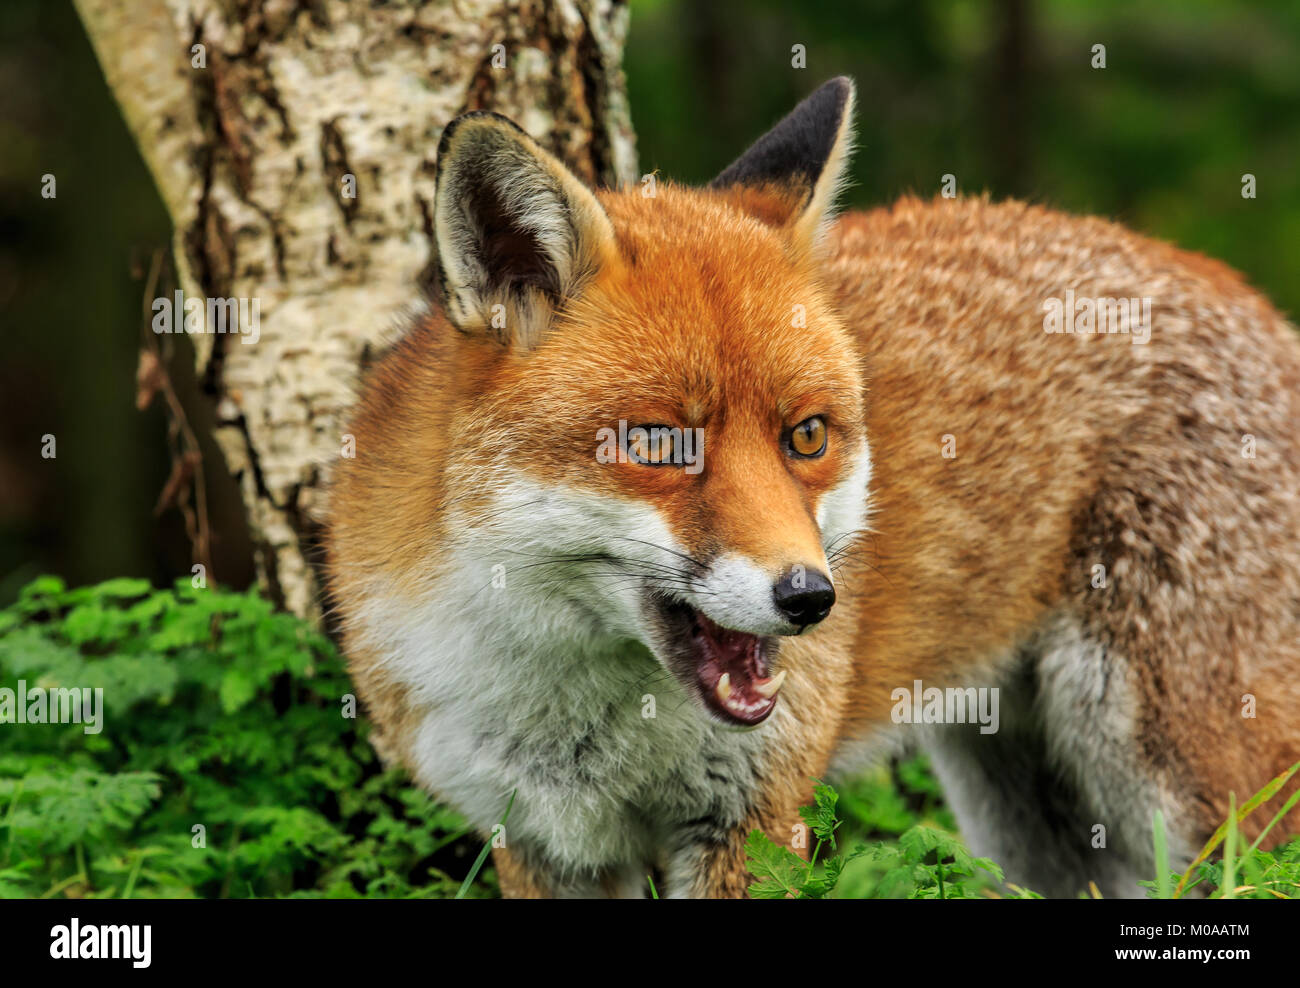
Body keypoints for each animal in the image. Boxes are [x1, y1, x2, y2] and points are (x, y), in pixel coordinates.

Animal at [326, 77, 1300, 898]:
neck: (582, 714)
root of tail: (1248, 296)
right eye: (660, 443)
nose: (810, 600)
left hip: (1184, 774)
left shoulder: (754, 818)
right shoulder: (543, 842)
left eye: (806, 436)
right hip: (1026, 808)